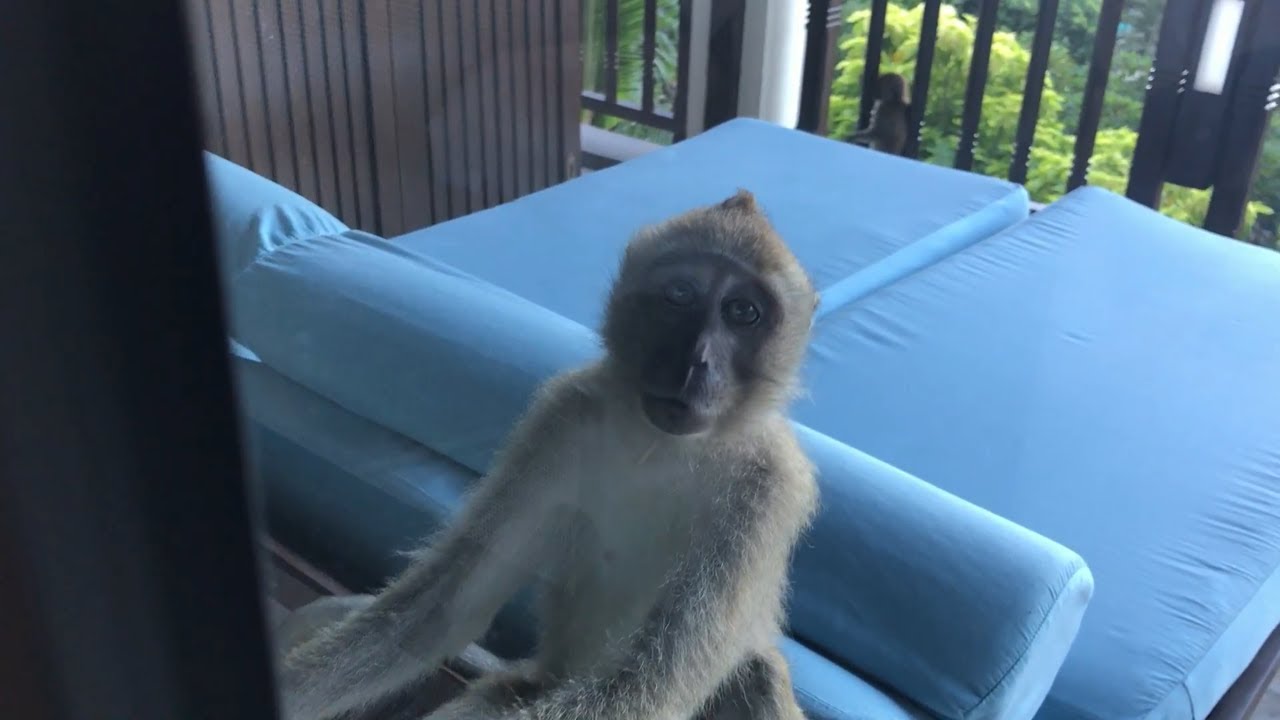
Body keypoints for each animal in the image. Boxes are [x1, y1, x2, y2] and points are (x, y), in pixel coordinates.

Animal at [277, 189, 821, 720]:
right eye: (680, 295)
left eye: (743, 313)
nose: (696, 362)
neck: (661, 446)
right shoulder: (560, 419)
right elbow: (437, 615)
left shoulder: (768, 488)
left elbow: (644, 687)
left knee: (756, 674)